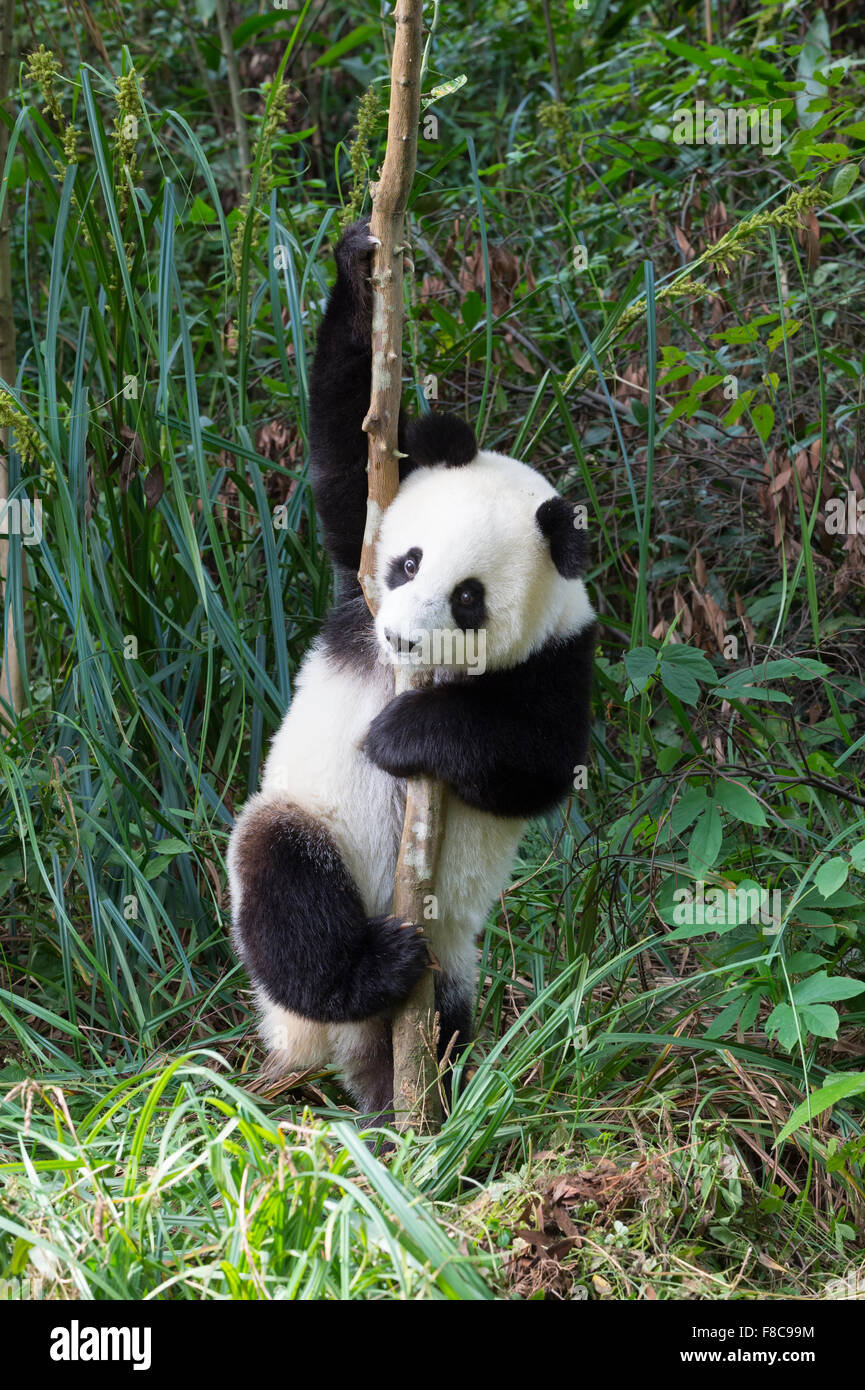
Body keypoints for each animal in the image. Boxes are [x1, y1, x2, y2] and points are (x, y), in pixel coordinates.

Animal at [227, 220, 597, 1117]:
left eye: (467, 600)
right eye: (406, 562)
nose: (397, 640)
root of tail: (313, 1051)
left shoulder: (562, 657)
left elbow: (538, 763)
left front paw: (405, 736)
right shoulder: (353, 584)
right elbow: (344, 465)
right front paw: (363, 266)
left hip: (456, 962)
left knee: (443, 1022)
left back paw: (426, 1104)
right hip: (308, 821)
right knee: (285, 889)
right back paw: (364, 974)